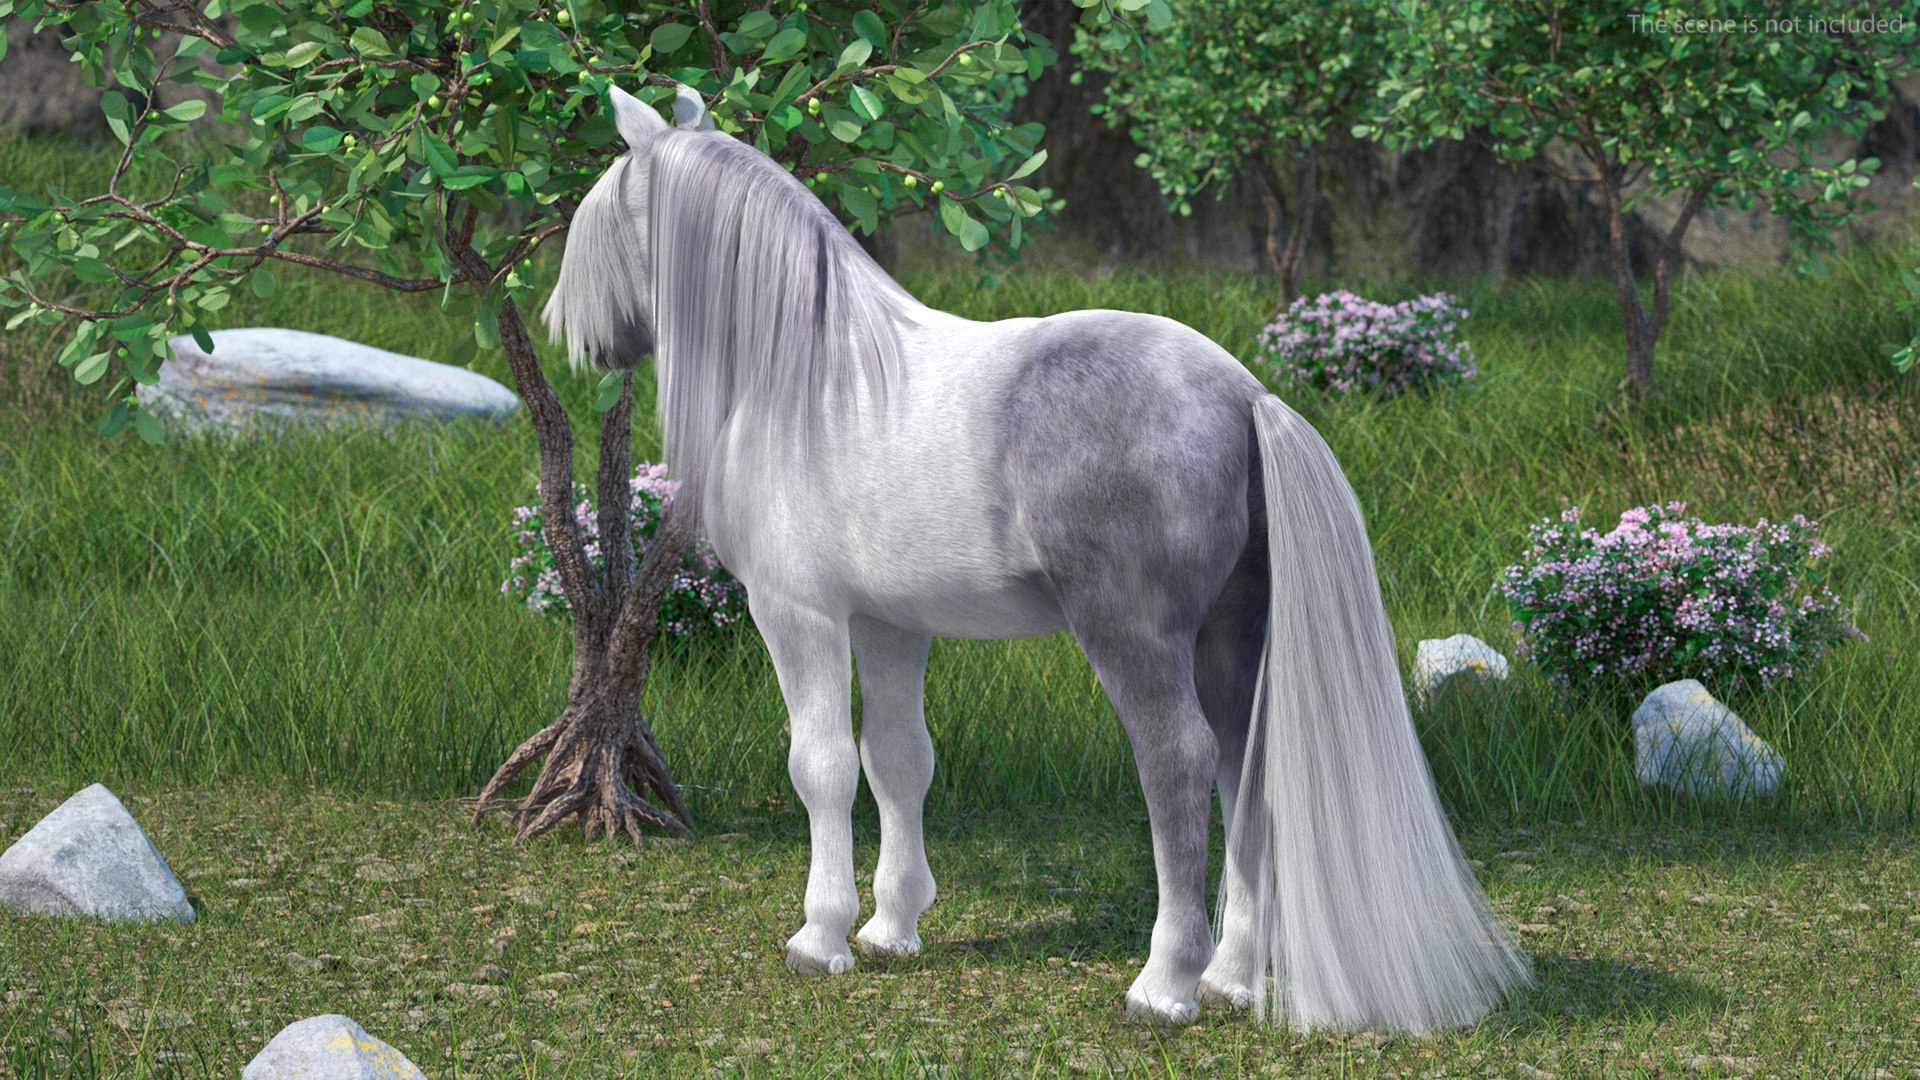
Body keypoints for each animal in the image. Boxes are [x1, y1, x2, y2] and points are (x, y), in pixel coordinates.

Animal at [543, 83, 1531, 1031]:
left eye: (598, 218)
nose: (567, 335)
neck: (815, 380)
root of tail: (1246, 396)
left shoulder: (797, 613)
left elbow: (820, 766)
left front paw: (819, 937)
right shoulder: (888, 625)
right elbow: (896, 758)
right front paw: (892, 928)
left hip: (1132, 637)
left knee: (1178, 762)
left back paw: (1165, 987)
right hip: (1231, 636)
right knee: (1237, 767)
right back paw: (1230, 982)